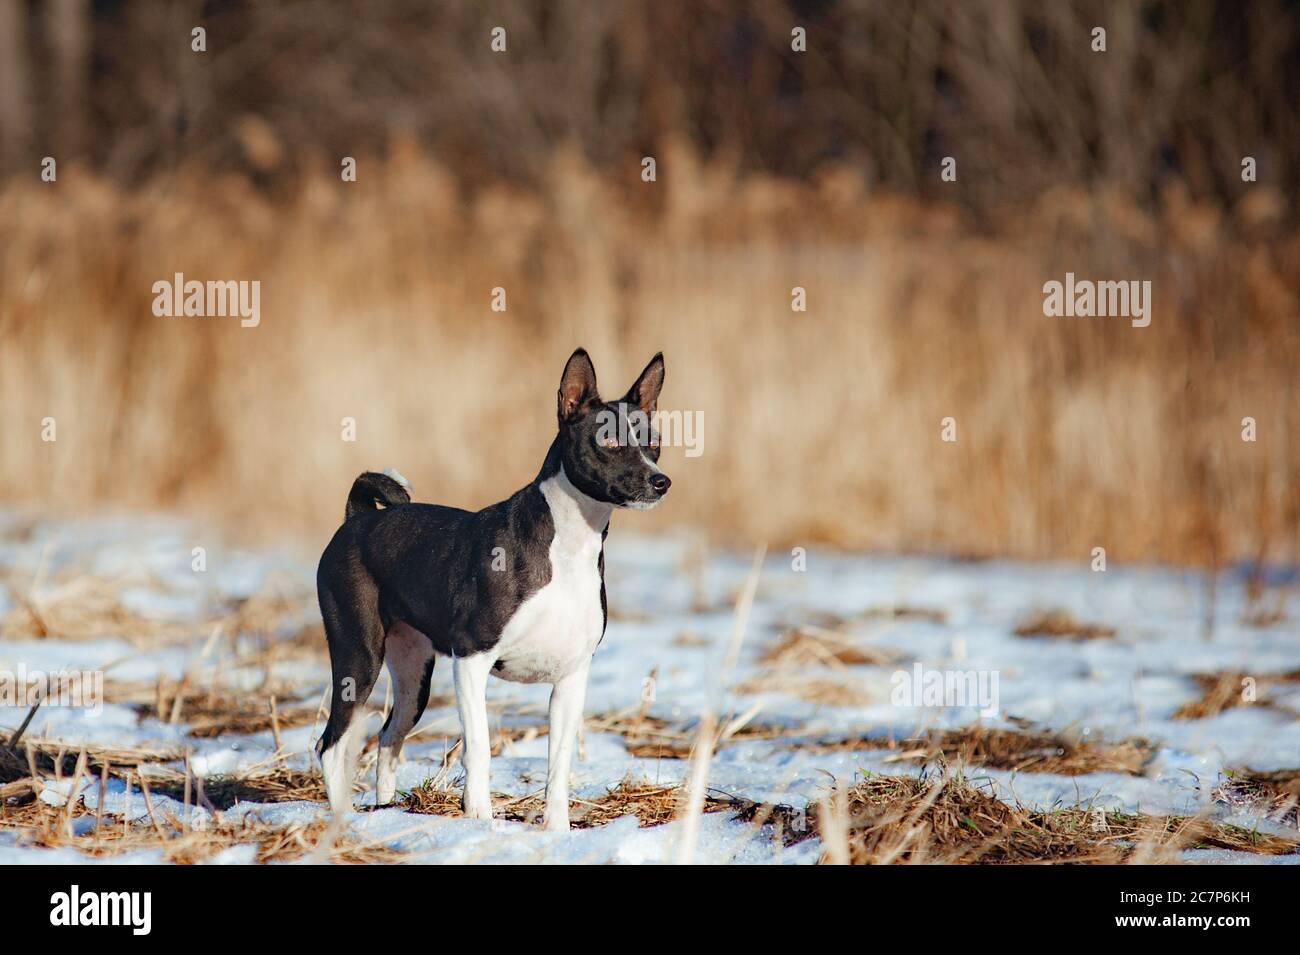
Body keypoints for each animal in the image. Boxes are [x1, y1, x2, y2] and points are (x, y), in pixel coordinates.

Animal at [309, 350, 665, 831]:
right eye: (608, 442)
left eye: (655, 442)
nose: (660, 480)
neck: (568, 546)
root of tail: (357, 519)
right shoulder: (471, 660)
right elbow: (478, 748)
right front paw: (479, 816)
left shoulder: (571, 678)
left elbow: (559, 764)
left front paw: (558, 831)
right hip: (358, 658)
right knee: (330, 744)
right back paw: (342, 823)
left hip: (413, 676)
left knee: (386, 738)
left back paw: (384, 809)